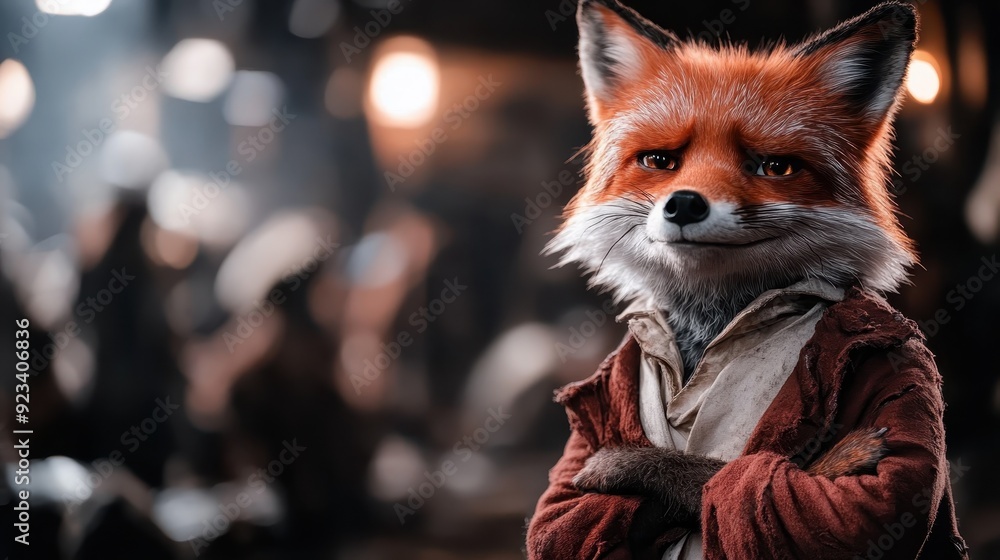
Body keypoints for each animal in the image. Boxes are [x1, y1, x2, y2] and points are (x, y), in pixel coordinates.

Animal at [529, 1, 968, 559]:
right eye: (660, 160)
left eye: (774, 167)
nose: (684, 204)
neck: (712, 326)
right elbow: (581, 511)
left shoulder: (905, 362)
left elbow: (755, 484)